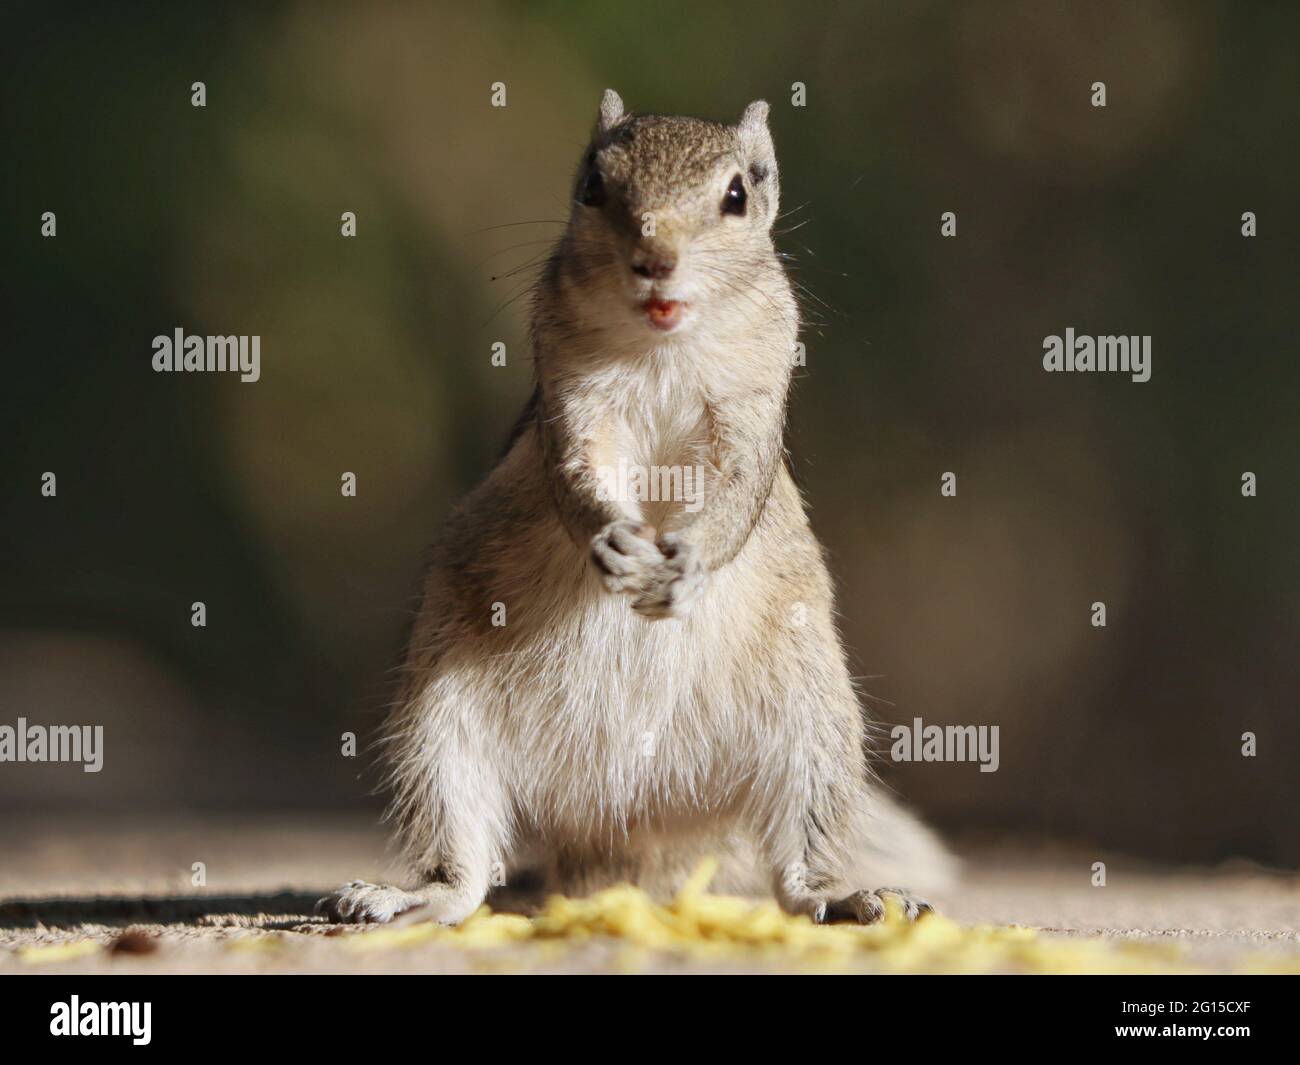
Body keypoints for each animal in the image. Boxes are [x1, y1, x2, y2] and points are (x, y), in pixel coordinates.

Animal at [319, 90, 954, 926]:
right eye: (593, 186)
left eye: (736, 195)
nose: (656, 259)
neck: (661, 346)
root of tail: (630, 821)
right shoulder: (570, 397)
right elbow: (576, 476)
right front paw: (613, 540)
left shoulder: (754, 400)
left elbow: (737, 492)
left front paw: (684, 567)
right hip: (439, 723)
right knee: (465, 862)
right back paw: (416, 897)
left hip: (814, 726)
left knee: (793, 872)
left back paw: (845, 894)